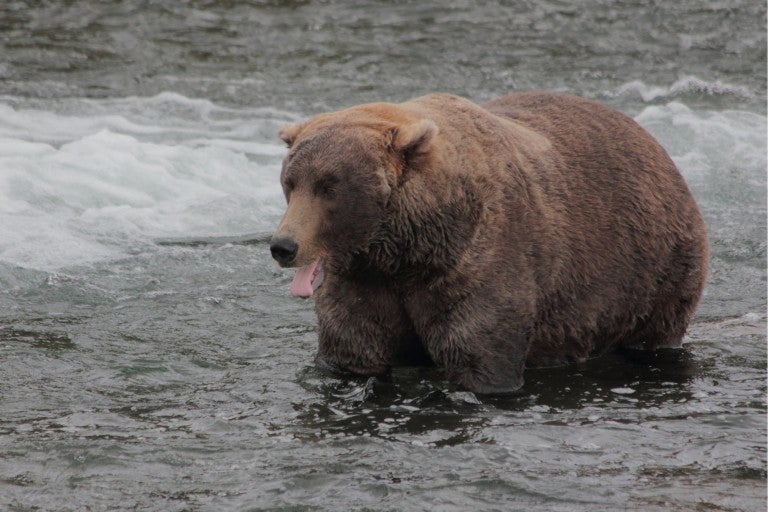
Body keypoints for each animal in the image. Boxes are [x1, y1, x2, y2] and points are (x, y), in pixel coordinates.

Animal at [269, 92, 708, 394]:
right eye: (291, 182)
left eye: (330, 187)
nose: (283, 246)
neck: (404, 252)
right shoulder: (364, 284)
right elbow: (352, 352)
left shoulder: (477, 262)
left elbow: (480, 353)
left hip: (655, 268)